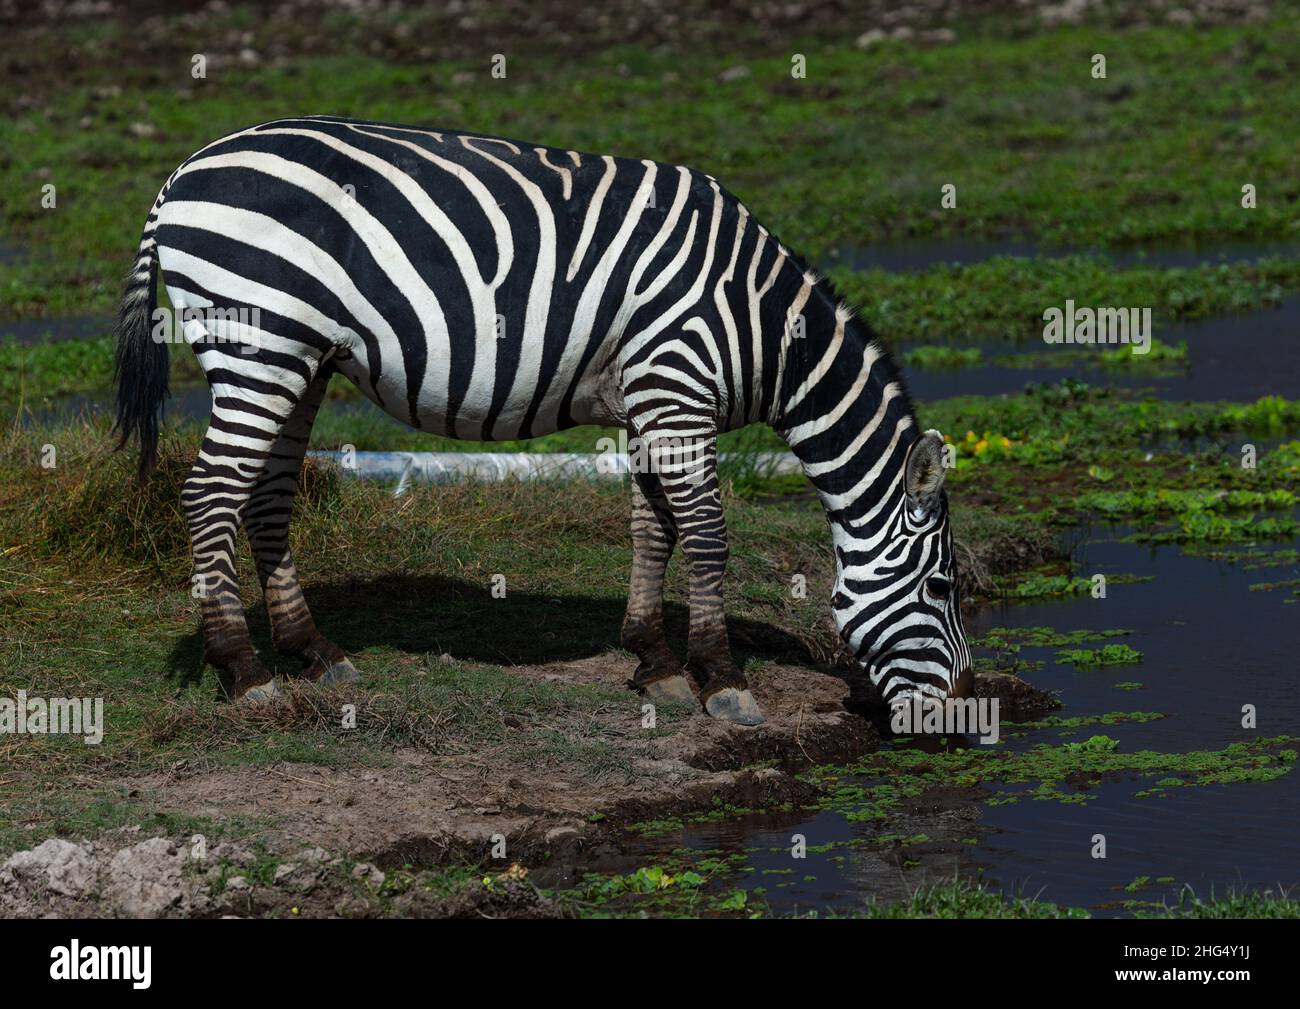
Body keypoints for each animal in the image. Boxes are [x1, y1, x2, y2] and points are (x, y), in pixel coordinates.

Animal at [114, 116, 972, 726]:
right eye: (941, 584)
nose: (963, 707)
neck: (755, 321)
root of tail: (180, 173)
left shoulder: (651, 404)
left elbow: (653, 529)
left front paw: (654, 660)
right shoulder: (677, 386)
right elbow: (707, 537)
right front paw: (723, 681)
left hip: (299, 360)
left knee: (264, 495)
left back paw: (312, 652)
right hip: (259, 342)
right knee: (210, 494)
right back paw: (245, 672)